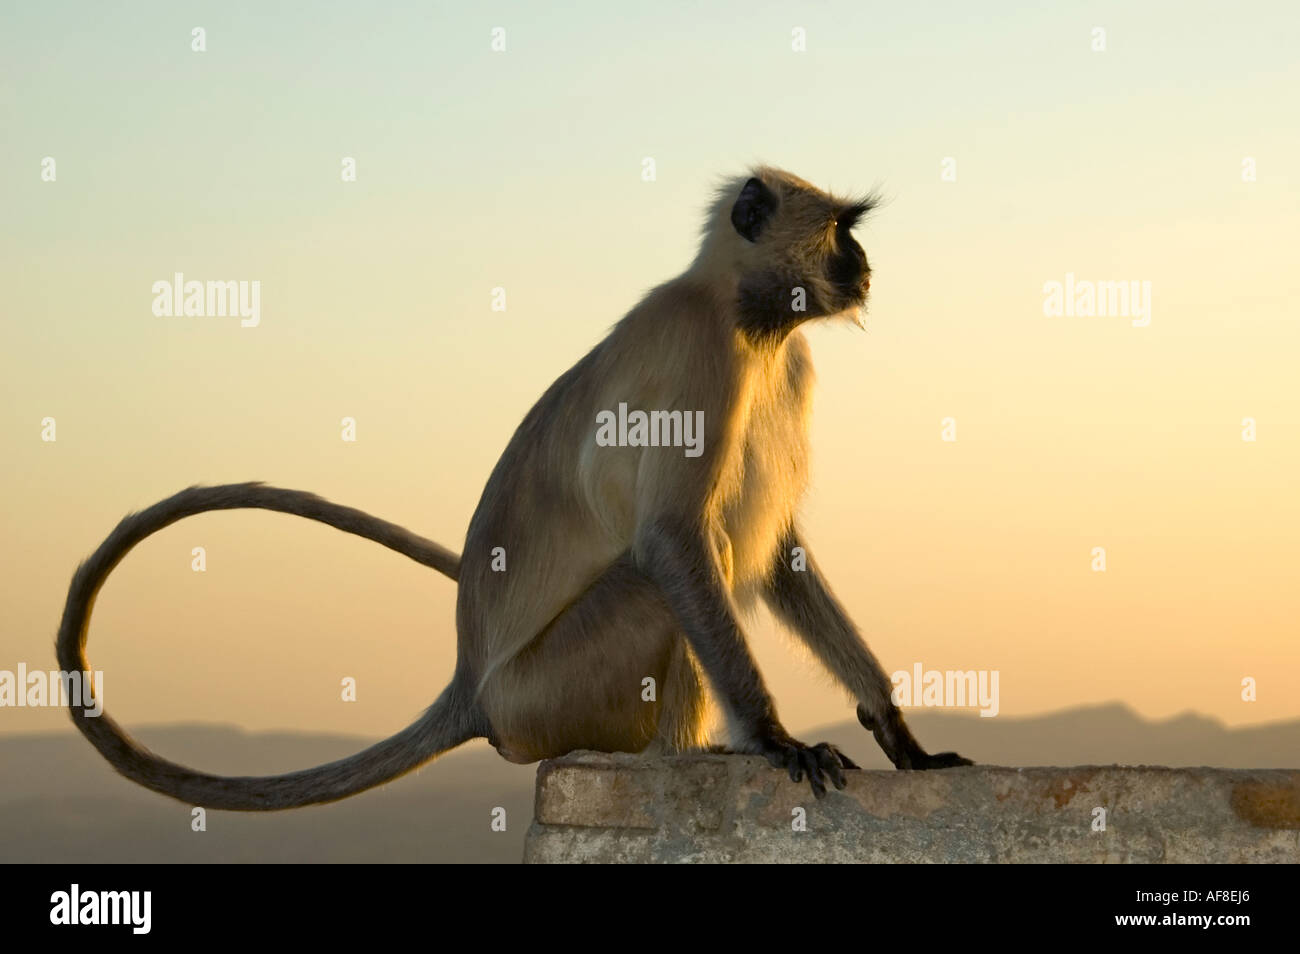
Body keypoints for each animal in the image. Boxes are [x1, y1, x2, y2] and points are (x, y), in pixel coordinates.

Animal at [56, 166, 971, 811]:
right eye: (842, 233)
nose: (867, 263)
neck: (748, 319)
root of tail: (475, 691)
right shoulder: (698, 350)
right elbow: (672, 537)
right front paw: (777, 741)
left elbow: (779, 553)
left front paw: (898, 733)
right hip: (549, 696)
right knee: (653, 578)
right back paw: (689, 754)